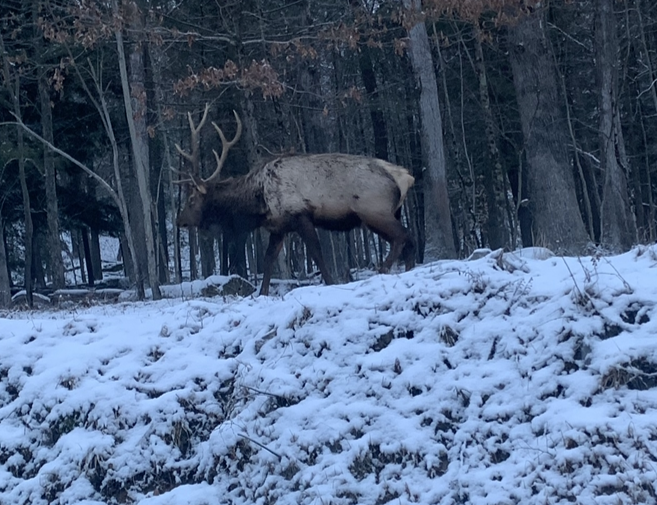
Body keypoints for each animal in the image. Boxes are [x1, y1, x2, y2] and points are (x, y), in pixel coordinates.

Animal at [175, 105, 415, 295]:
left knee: (402, 235)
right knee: (408, 240)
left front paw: (330, 282)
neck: (257, 202)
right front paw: (262, 293)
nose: (179, 221)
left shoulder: (300, 216)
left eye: (192, 199)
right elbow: (268, 260)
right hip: (387, 213)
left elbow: (317, 254)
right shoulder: (278, 227)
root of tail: (405, 177)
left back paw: (383, 270)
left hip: (373, 210)